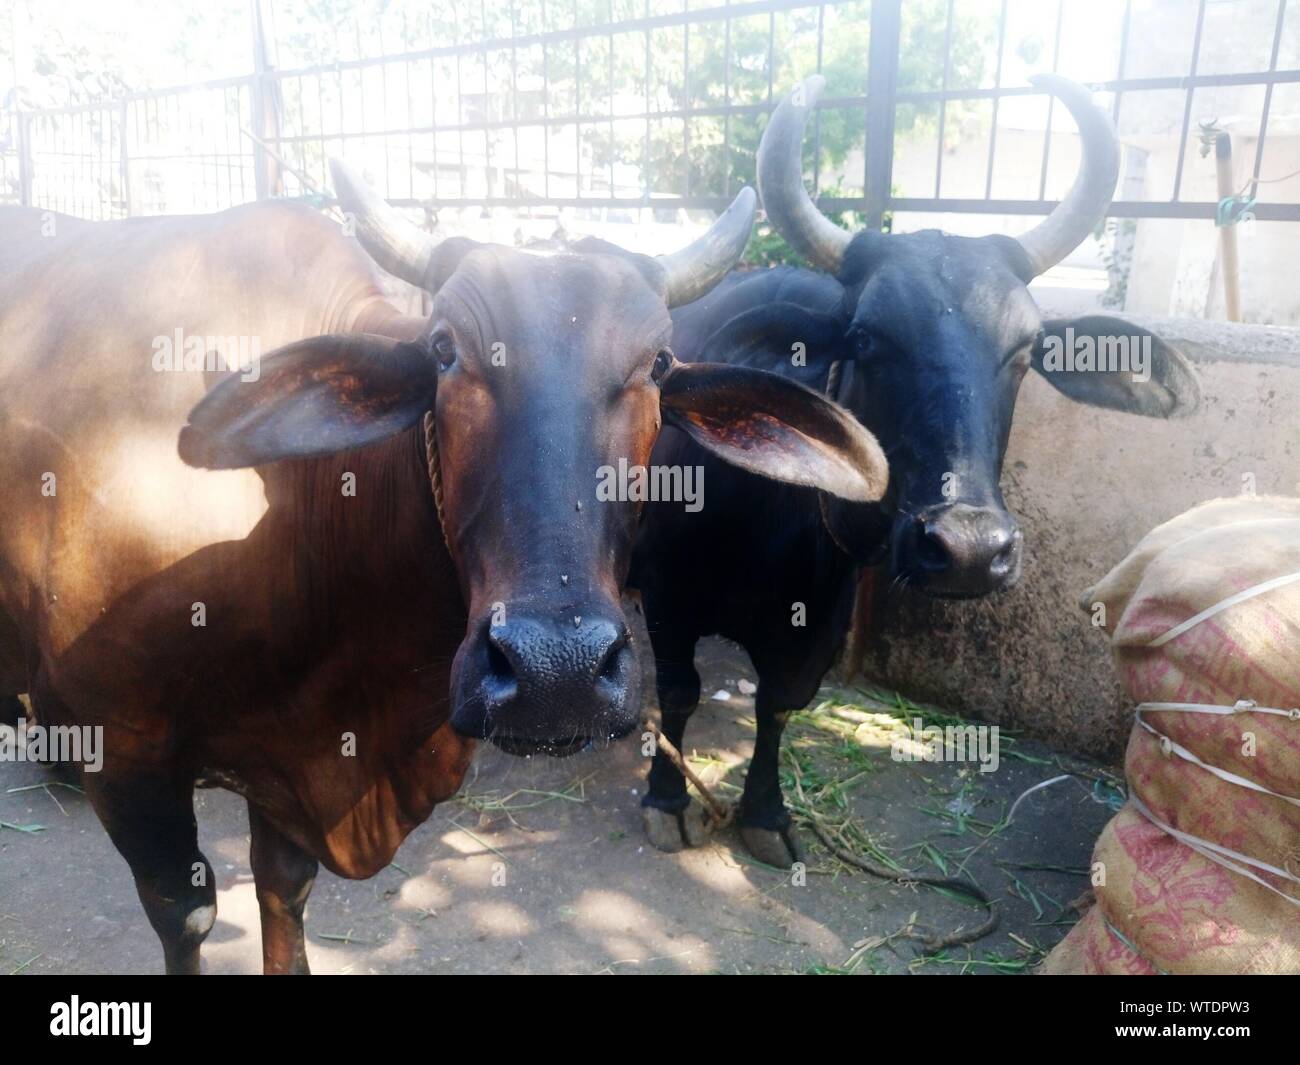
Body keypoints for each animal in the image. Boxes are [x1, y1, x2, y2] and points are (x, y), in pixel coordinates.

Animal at [0, 162, 888, 973]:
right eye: (443, 349)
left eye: (661, 362)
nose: (556, 672)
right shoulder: (129, 761)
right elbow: (184, 915)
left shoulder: (285, 769)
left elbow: (283, 888)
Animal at [629, 75, 1201, 867]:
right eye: (868, 337)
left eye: (1026, 350)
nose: (968, 550)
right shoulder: (667, 594)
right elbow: (680, 692)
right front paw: (664, 799)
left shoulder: (818, 623)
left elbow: (777, 705)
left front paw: (766, 812)